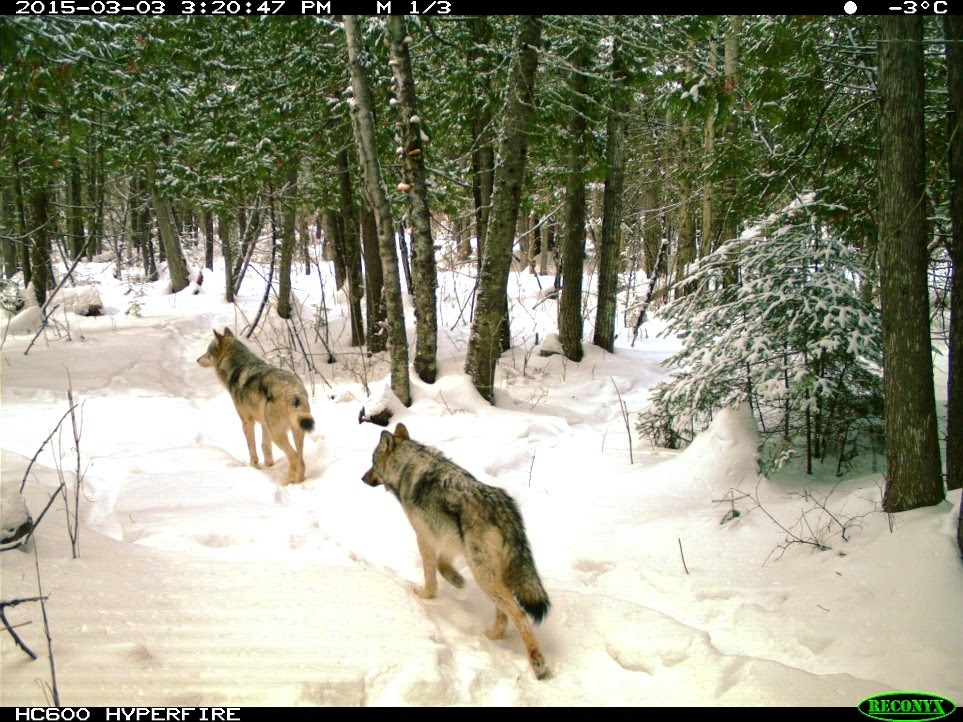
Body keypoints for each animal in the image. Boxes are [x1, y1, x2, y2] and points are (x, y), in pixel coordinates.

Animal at [197, 327, 315, 484]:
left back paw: (286, 482)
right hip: (296, 431)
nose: (197, 359)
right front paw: (269, 465)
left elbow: (251, 448)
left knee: (294, 456)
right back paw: (298, 482)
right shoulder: (263, 424)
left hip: (277, 434)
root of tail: (294, 391)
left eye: (207, 352)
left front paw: (254, 468)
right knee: (301, 461)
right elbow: (265, 447)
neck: (237, 366)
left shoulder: (247, 422)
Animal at [362, 423, 551, 680]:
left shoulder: (425, 536)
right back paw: (490, 637)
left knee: (519, 615)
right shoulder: (448, 540)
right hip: (489, 574)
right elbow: (443, 566)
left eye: (372, 462)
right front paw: (457, 580)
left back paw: (537, 664)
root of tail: (504, 508)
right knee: (503, 614)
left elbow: (430, 576)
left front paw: (424, 595)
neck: (406, 467)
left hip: (483, 574)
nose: (362, 477)